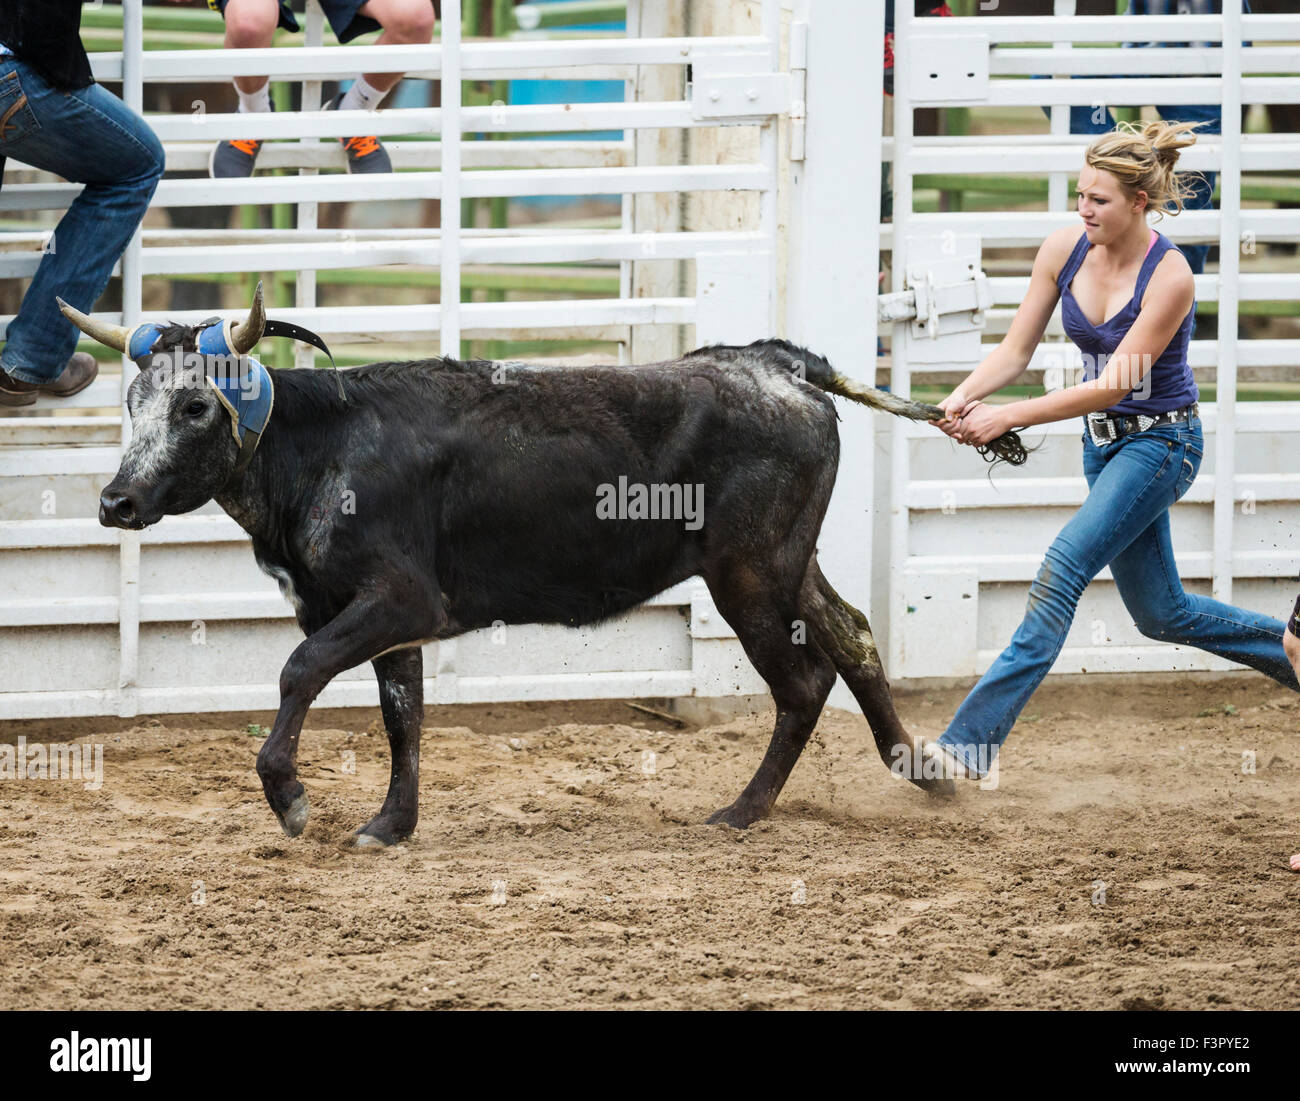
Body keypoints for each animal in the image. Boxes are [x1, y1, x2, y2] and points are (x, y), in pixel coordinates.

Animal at [60, 287, 1027, 848]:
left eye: (195, 405)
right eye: (133, 401)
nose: (115, 501)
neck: (323, 442)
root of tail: (775, 363)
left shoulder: (397, 599)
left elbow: (301, 671)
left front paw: (292, 797)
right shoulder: (373, 616)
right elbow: (403, 714)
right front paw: (391, 824)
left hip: (749, 573)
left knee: (803, 680)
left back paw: (743, 811)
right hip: (788, 564)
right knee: (855, 639)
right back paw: (923, 774)